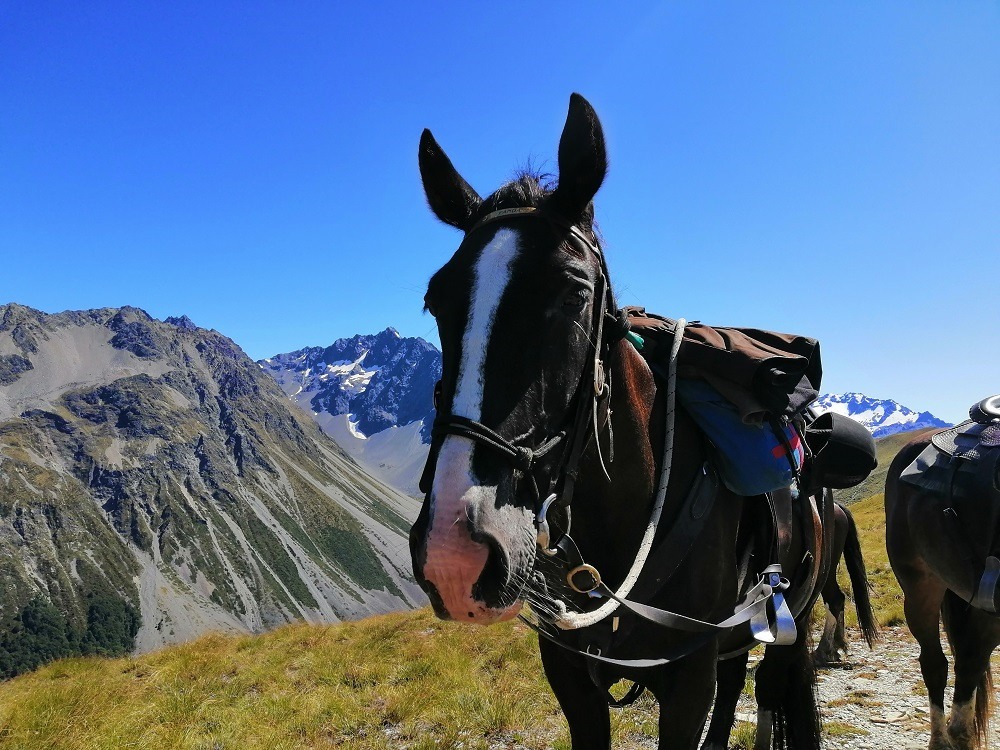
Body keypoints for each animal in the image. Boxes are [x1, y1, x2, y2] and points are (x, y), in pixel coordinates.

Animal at [409, 93, 841, 750]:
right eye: (437, 301)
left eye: (573, 293)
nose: (454, 556)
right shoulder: (569, 676)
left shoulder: (688, 680)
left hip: (792, 619)